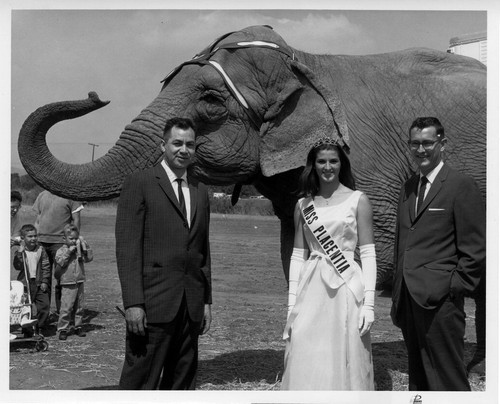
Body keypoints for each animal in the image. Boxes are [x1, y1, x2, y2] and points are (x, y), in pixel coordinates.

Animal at [18, 24, 484, 288]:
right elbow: (292, 252)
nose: (96, 94)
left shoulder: (368, 165)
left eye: (209, 101)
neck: (308, 63)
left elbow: (379, 261)